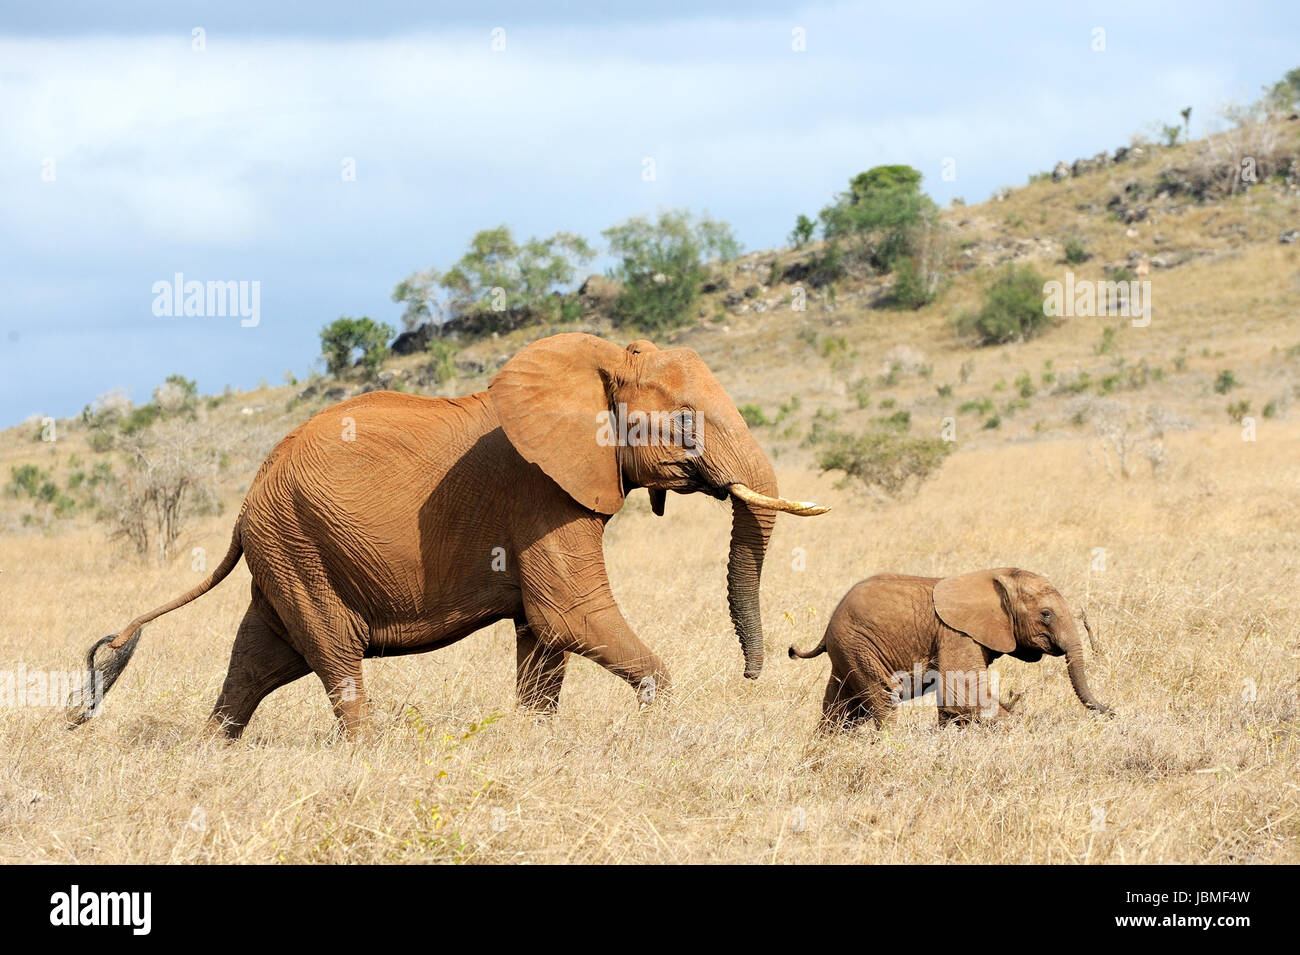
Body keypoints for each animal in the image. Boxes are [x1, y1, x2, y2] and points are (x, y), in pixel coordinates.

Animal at [67, 333, 828, 738]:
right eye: (689, 424)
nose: (757, 671)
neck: (601, 361)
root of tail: (246, 498)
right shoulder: (541, 492)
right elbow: (569, 614)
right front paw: (657, 721)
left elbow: (543, 636)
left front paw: (535, 741)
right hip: (298, 545)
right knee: (334, 654)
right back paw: (365, 756)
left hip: (286, 549)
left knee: (258, 659)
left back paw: (211, 750)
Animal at [788, 569, 1110, 731]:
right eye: (1045, 614)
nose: (1112, 711)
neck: (998, 577)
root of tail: (828, 626)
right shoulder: (956, 633)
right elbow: (964, 695)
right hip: (859, 645)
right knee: (882, 701)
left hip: (849, 651)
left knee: (841, 708)